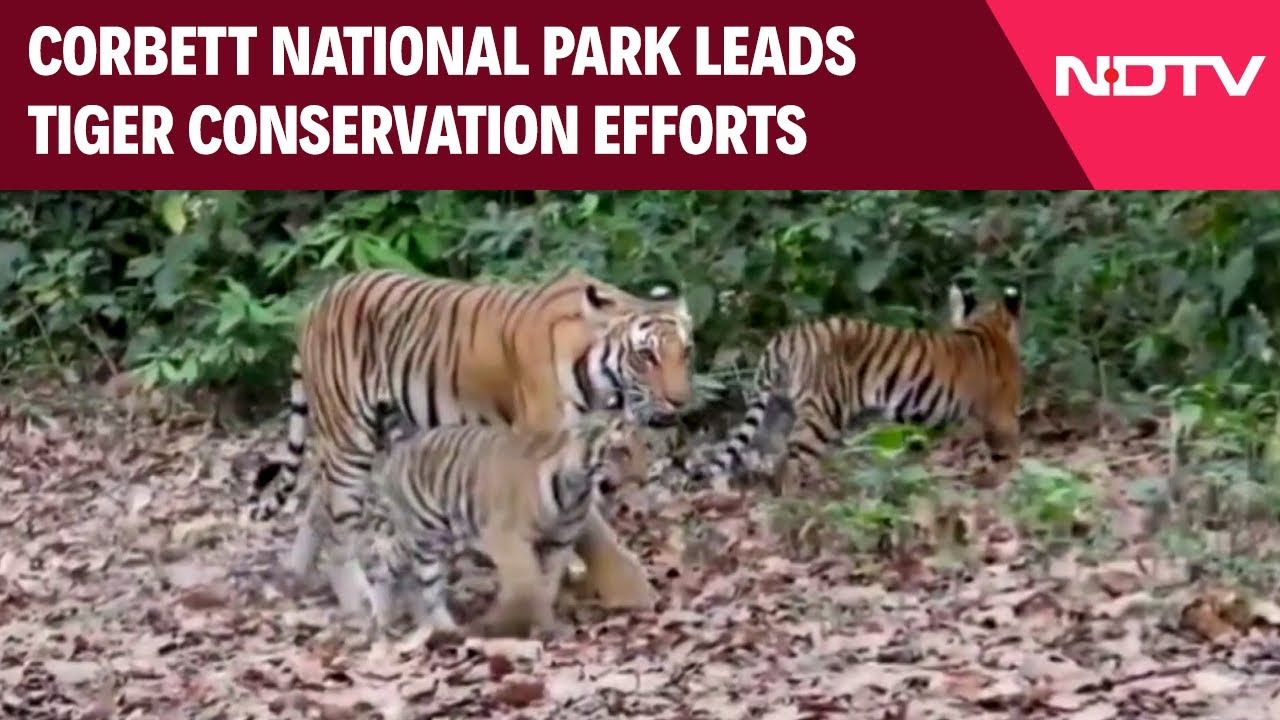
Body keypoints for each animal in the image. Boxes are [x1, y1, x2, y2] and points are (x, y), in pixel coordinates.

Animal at [245, 267, 693, 615]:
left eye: (685, 352)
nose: (680, 399)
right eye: (646, 357)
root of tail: (319, 300)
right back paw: (358, 601)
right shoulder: (550, 450)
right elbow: (594, 533)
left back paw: (297, 572)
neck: (603, 384)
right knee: (339, 525)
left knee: (319, 502)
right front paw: (631, 591)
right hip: (348, 438)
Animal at [365, 412, 652, 640]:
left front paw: (548, 627)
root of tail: (402, 447)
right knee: (391, 569)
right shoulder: (507, 539)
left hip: (444, 539)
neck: (575, 491)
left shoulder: (557, 544)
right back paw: (430, 626)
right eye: (622, 451)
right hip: (425, 535)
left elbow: (547, 587)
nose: (643, 480)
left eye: (644, 448)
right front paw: (516, 622)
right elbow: (528, 583)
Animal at [686, 280, 1022, 494]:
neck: (988, 325)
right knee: (792, 462)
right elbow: (1008, 451)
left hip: (777, 411)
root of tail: (784, 338)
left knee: (767, 457)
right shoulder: (1001, 414)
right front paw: (1008, 479)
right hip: (823, 415)